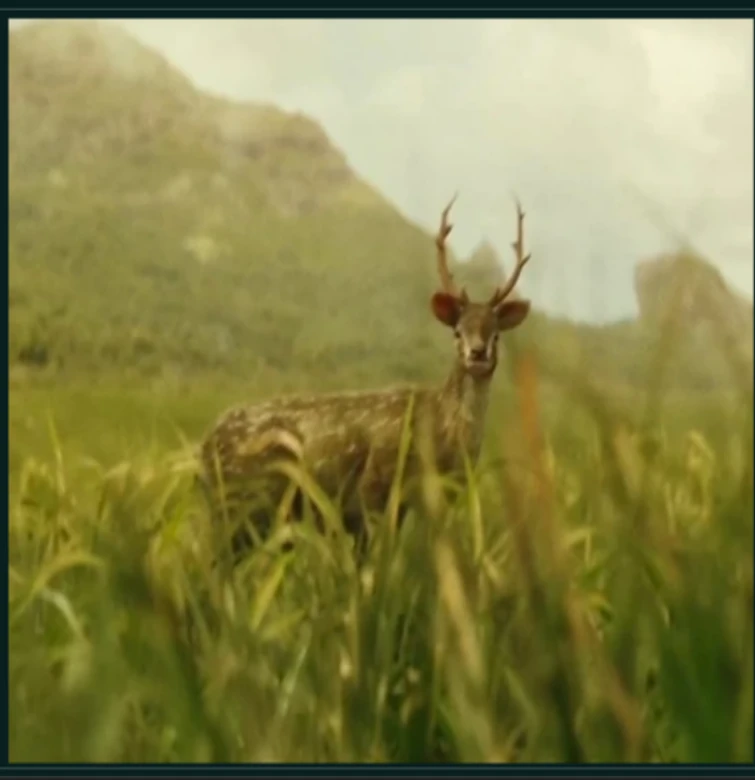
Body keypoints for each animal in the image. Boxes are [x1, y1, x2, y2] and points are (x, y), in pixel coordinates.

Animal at [198, 197, 532, 559]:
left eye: (496, 334)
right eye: (457, 332)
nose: (478, 353)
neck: (442, 435)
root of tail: (202, 449)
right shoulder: (374, 485)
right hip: (241, 499)